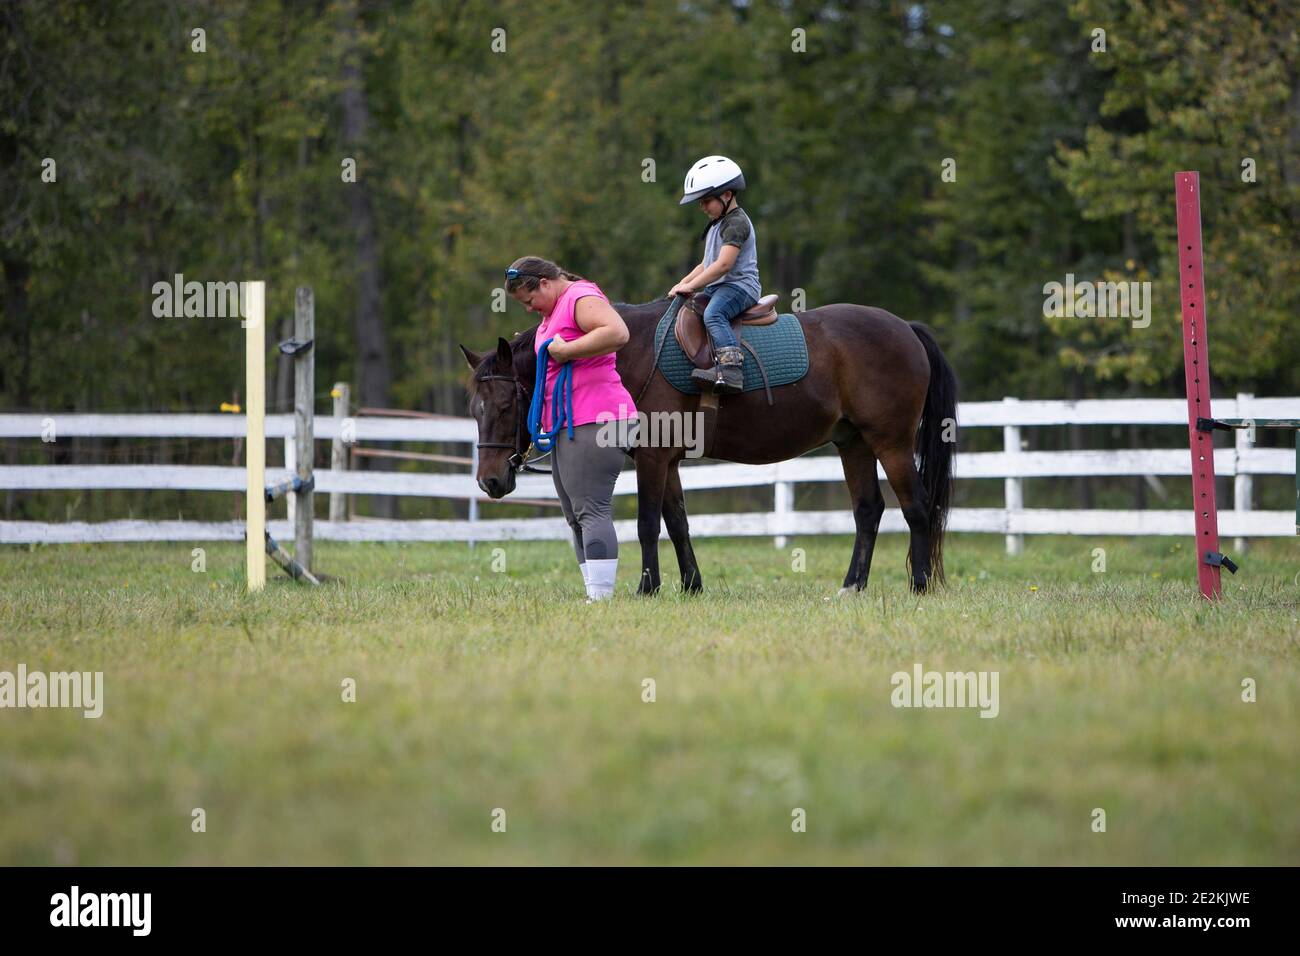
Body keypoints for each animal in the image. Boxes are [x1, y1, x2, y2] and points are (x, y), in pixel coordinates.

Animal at [460, 297, 957, 596]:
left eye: (505, 404)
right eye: (474, 408)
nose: (490, 480)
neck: (627, 353)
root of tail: (905, 327)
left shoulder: (652, 459)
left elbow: (646, 524)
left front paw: (647, 588)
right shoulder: (668, 462)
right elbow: (678, 523)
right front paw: (691, 586)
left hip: (890, 443)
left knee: (917, 508)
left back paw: (918, 586)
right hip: (853, 444)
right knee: (868, 510)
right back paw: (852, 586)